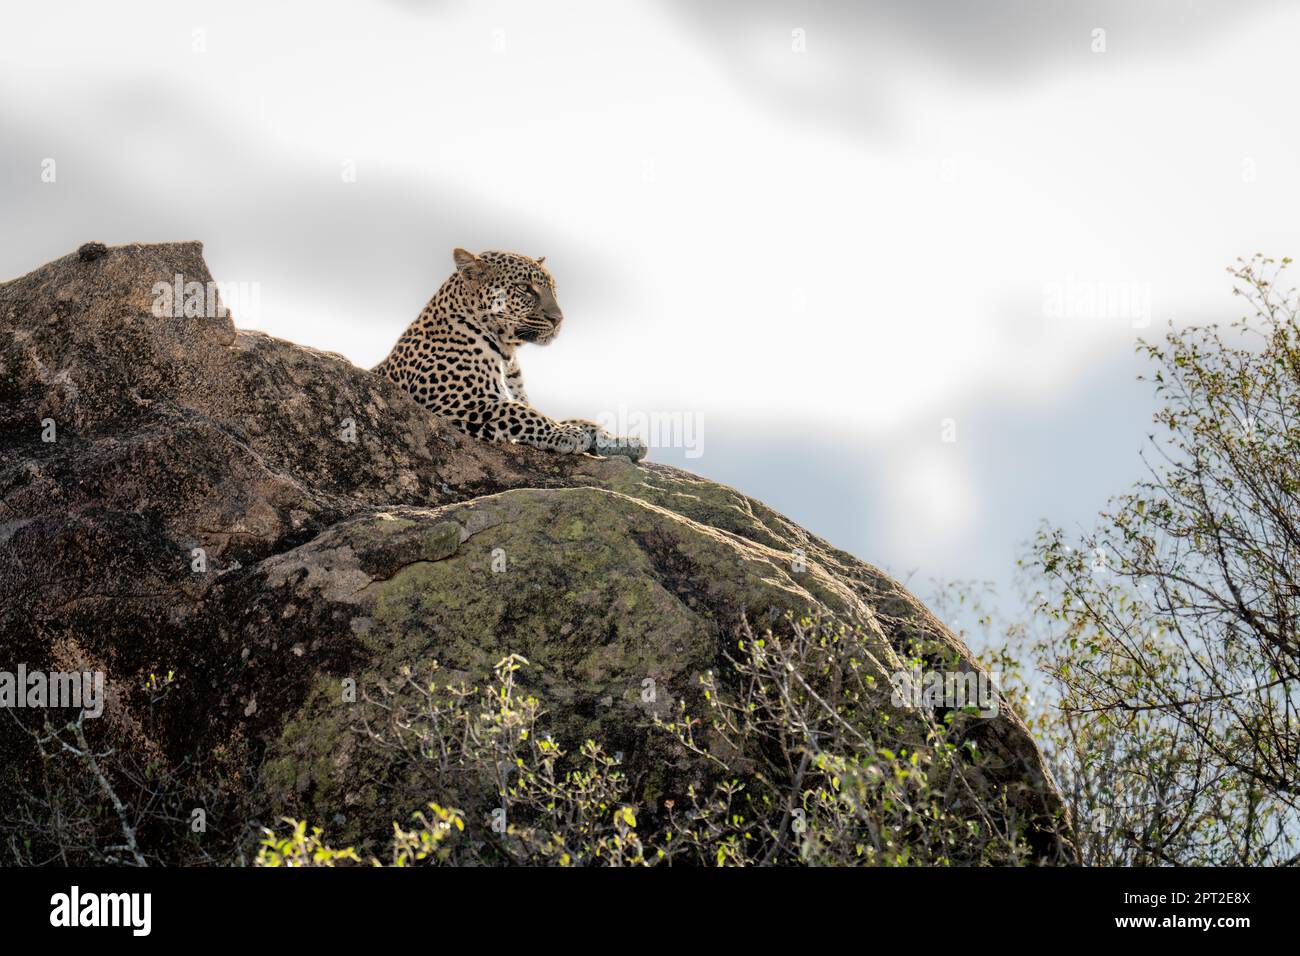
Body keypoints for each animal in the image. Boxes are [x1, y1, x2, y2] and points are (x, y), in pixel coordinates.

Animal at [373, 248, 646, 461]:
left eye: (553, 289)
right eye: (525, 288)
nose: (558, 319)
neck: (507, 354)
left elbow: (577, 419)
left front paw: (622, 441)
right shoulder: (456, 405)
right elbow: (520, 411)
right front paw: (566, 434)